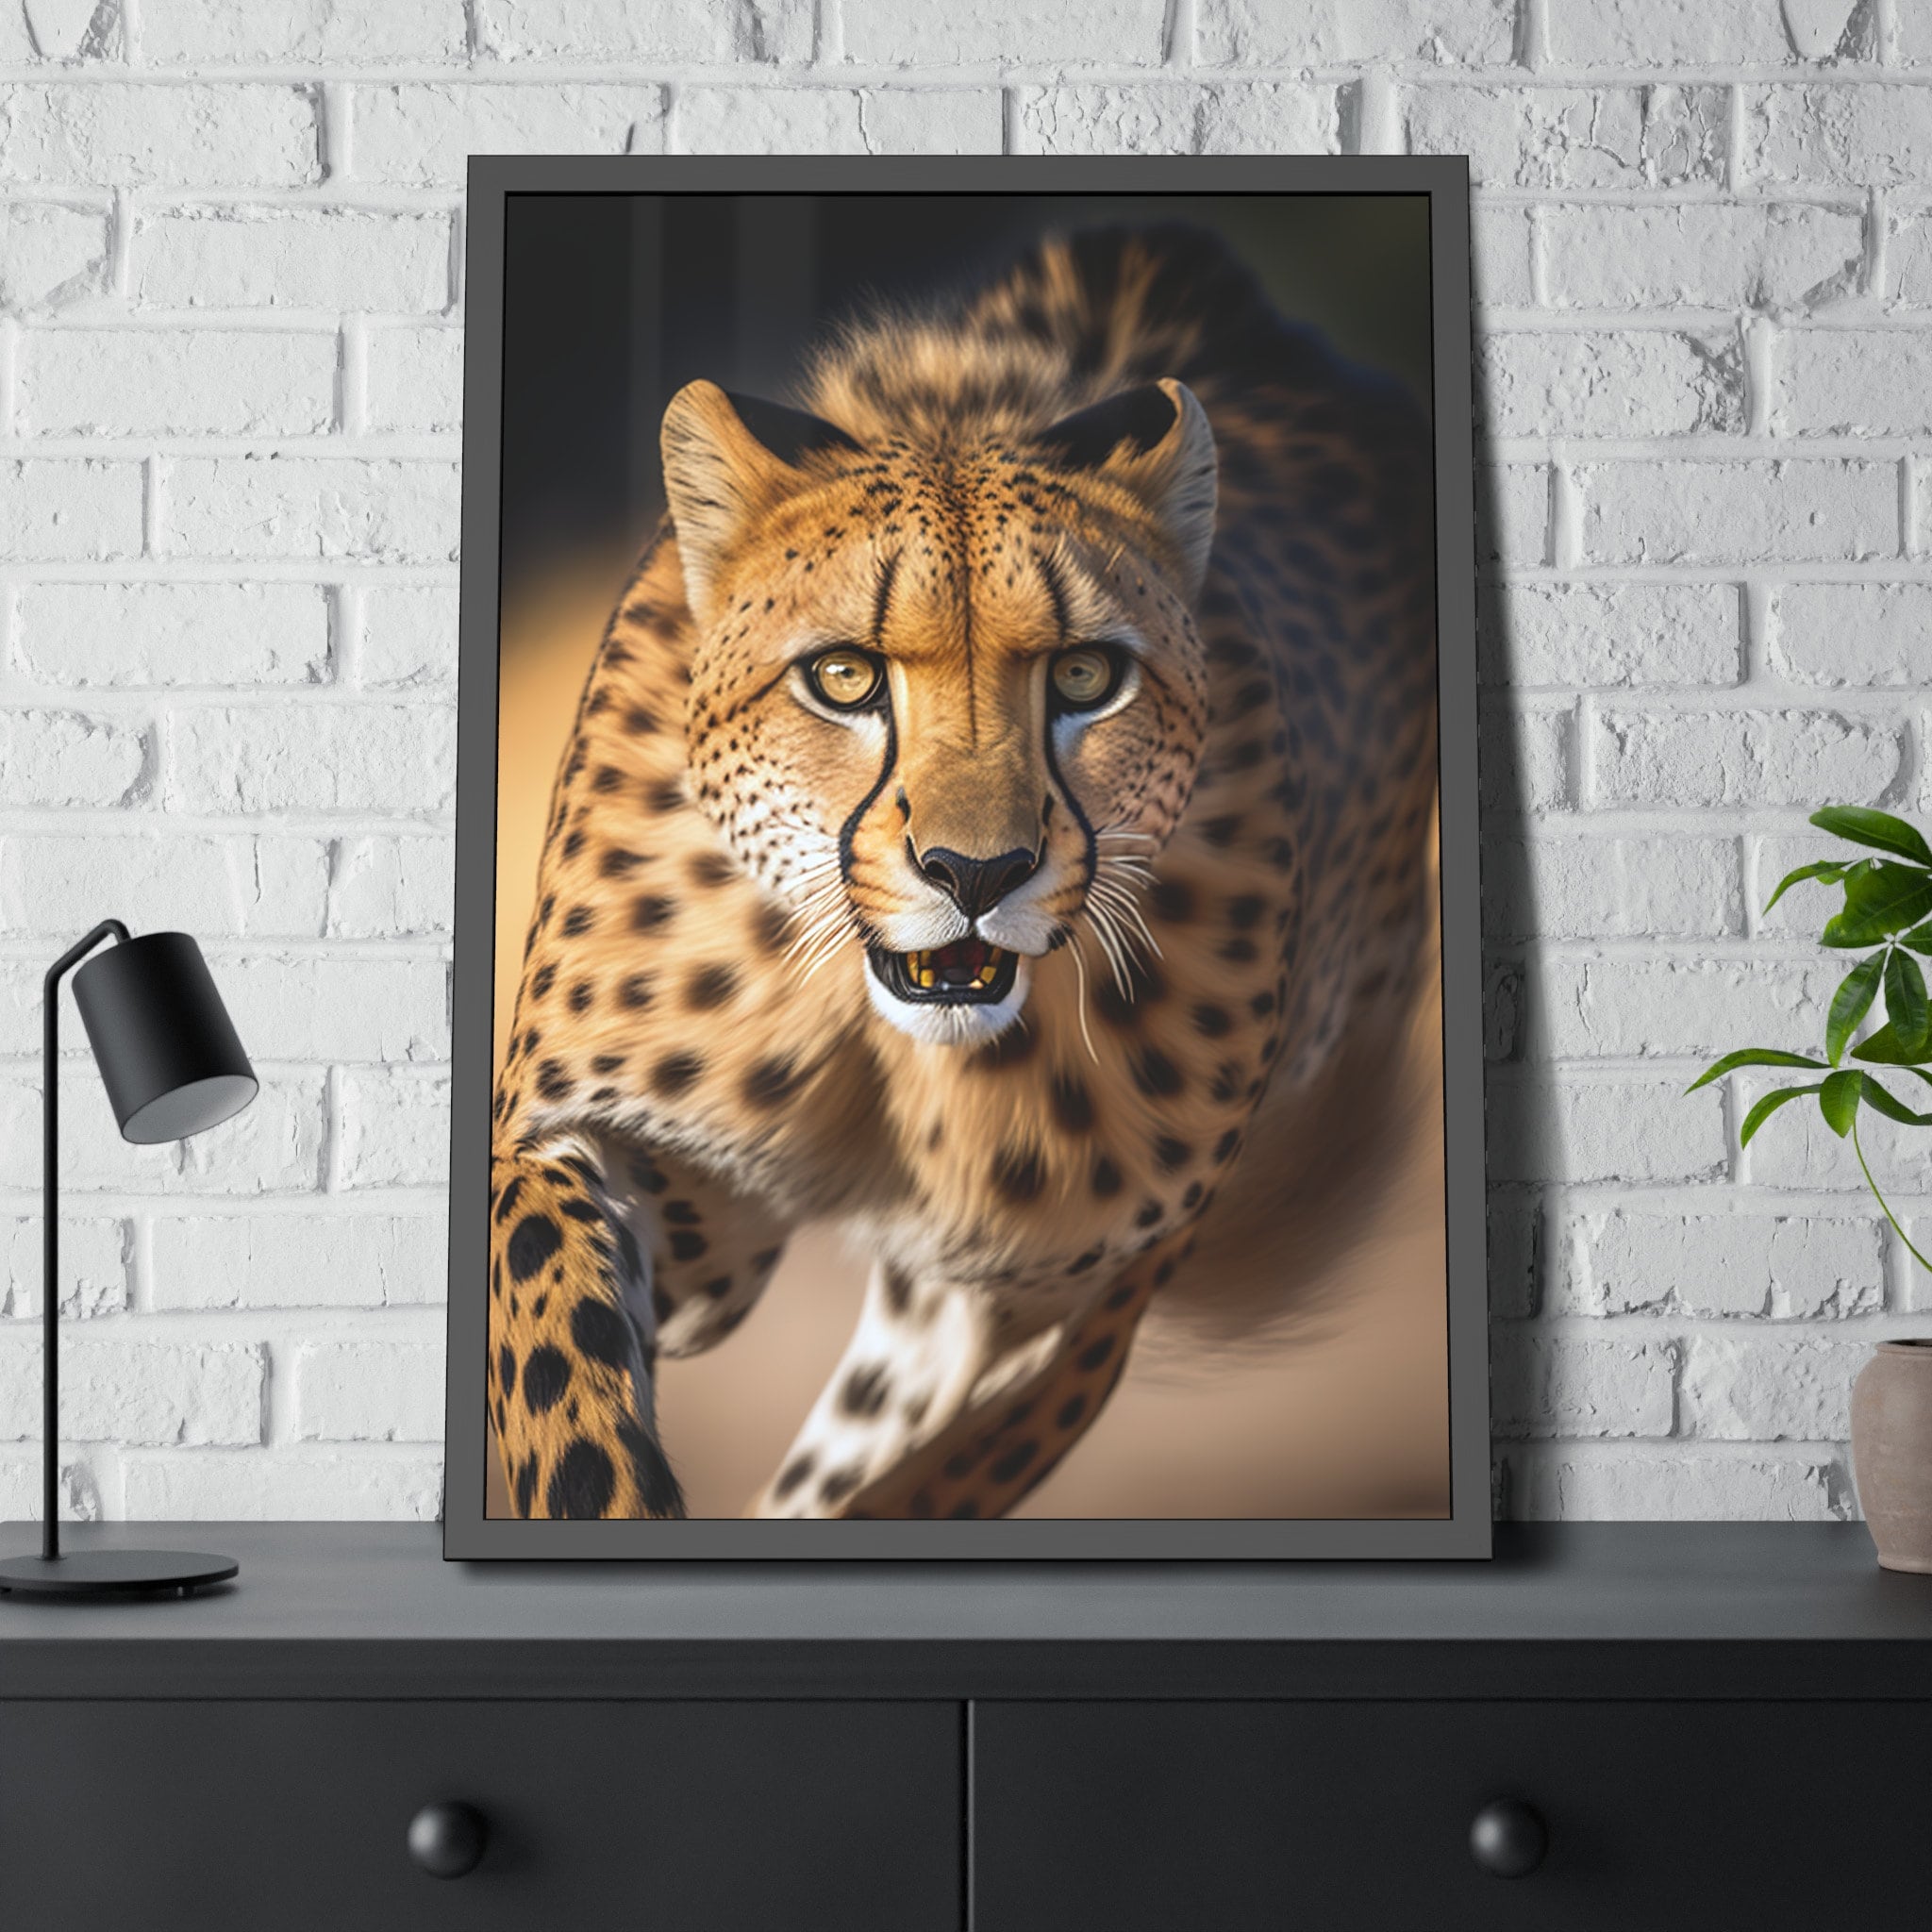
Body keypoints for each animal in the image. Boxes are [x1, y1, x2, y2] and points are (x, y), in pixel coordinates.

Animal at [485, 223, 1439, 1521]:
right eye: (842, 675)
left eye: (1084, 674)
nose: (974, 872)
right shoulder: (642, 1178)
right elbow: (553, 1307)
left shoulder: (1057, 1298)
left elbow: (913, 1485)